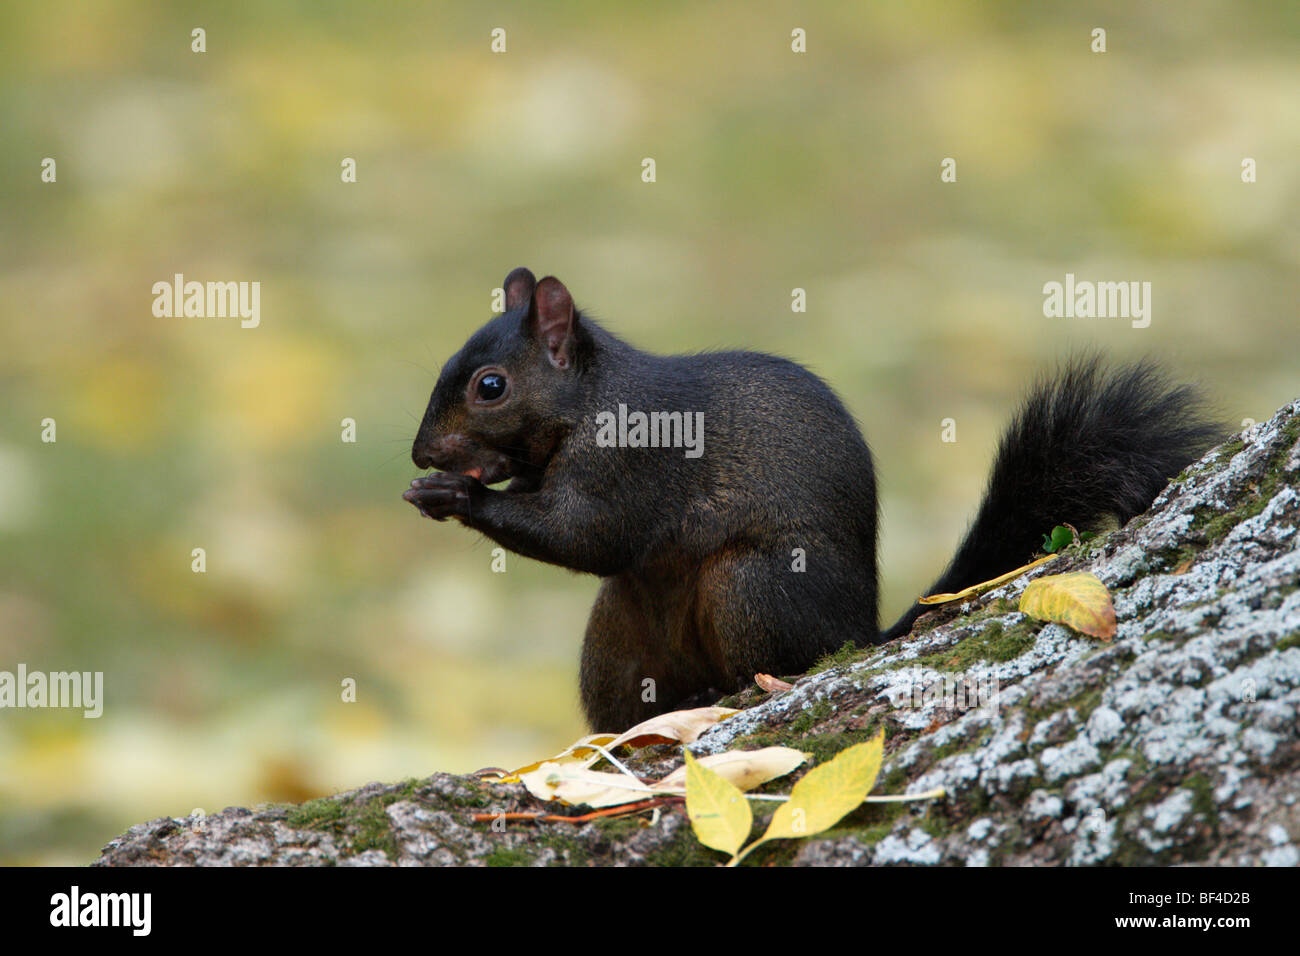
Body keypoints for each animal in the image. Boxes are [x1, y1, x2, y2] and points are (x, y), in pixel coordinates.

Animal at [404, 267, 1222, 731]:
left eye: (490, 387)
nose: (420, 453)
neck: (591, 401)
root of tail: (860, 629)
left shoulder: (629, 464)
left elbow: (585, 534)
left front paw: (456, 495)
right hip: (615, 643)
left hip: (751, 585)